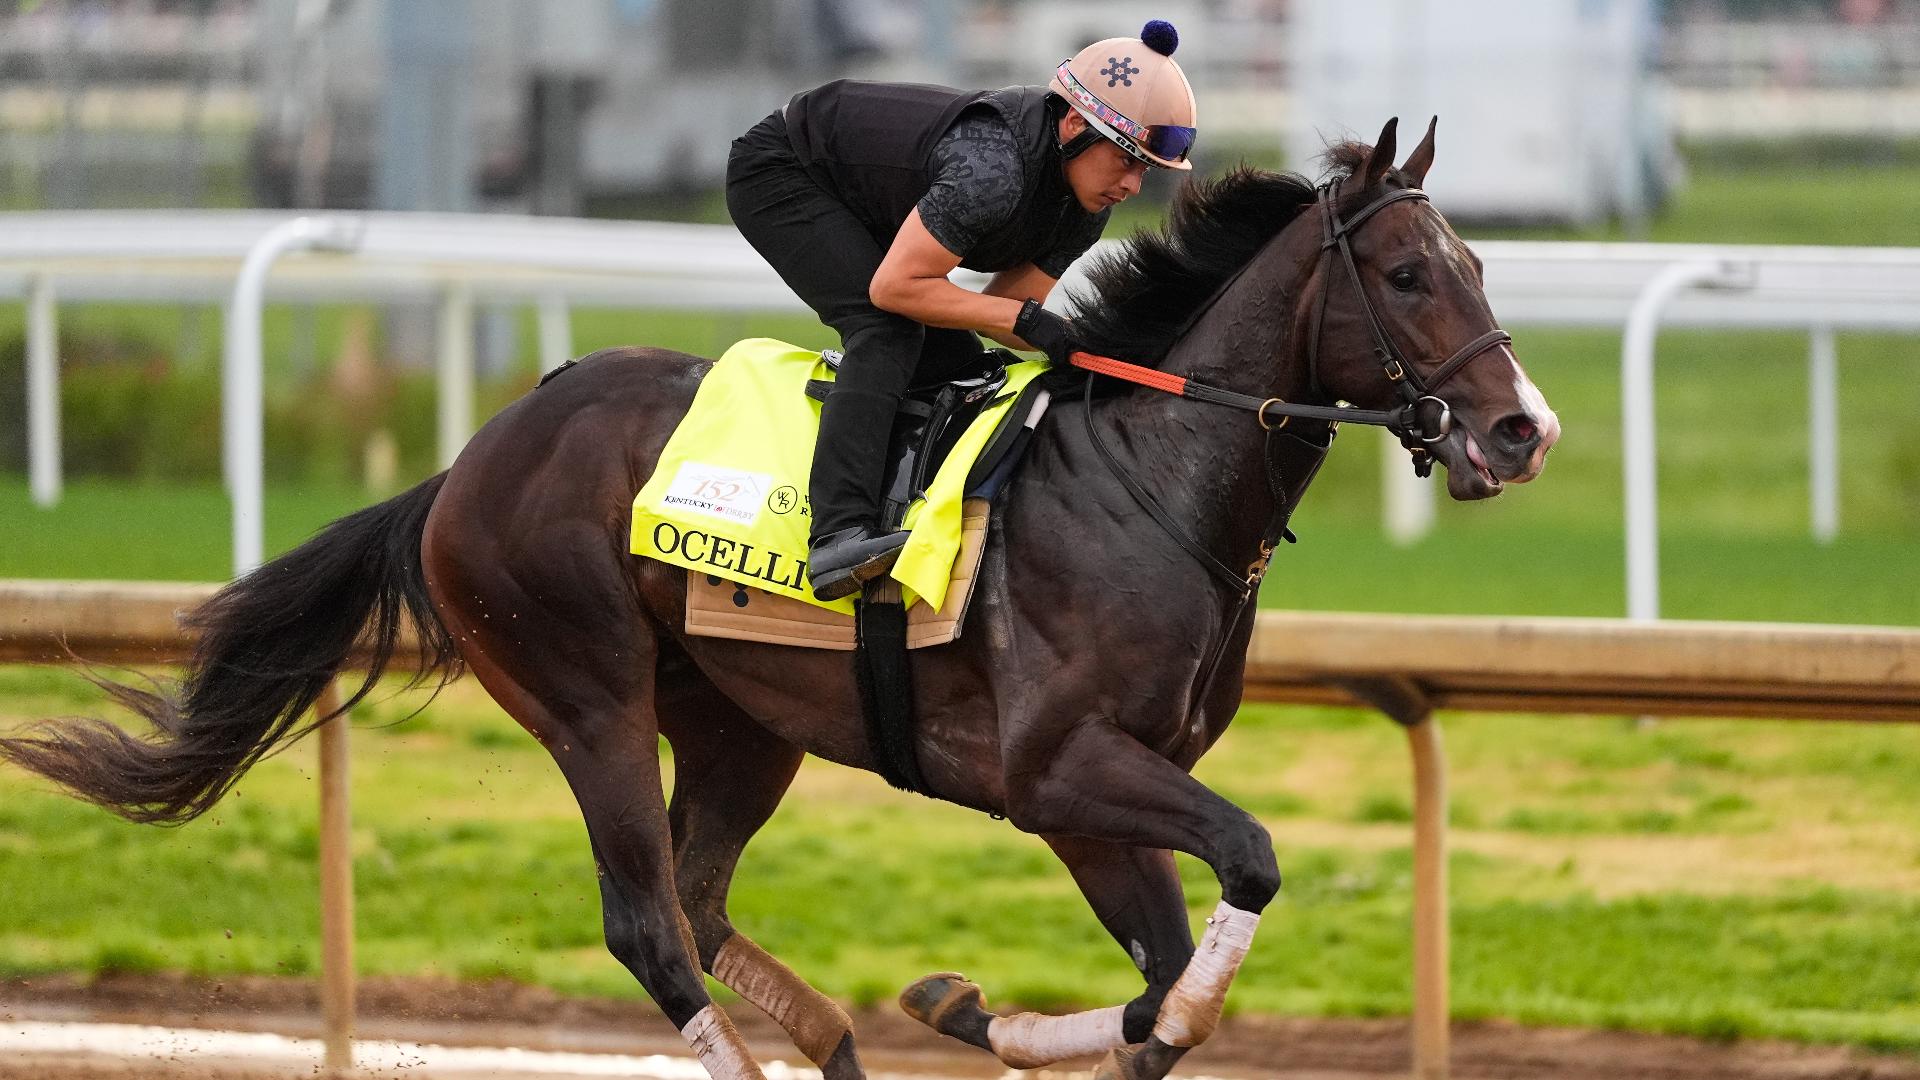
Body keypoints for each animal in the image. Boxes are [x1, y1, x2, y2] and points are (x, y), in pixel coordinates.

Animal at [1, 118, 1558, 1080]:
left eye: (1481, 265)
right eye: (1409, 272)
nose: (1523, 429)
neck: (1149, 482)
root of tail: (465, 463)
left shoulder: (1099, 791)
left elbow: (1166, 985)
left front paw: (965, 1007)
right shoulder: (1063, 768)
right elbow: (1236, 888)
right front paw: (982, 1008)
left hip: (742, 723)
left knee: (696, 902)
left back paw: (846, 1042)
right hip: (586, 694)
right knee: (647, 924)